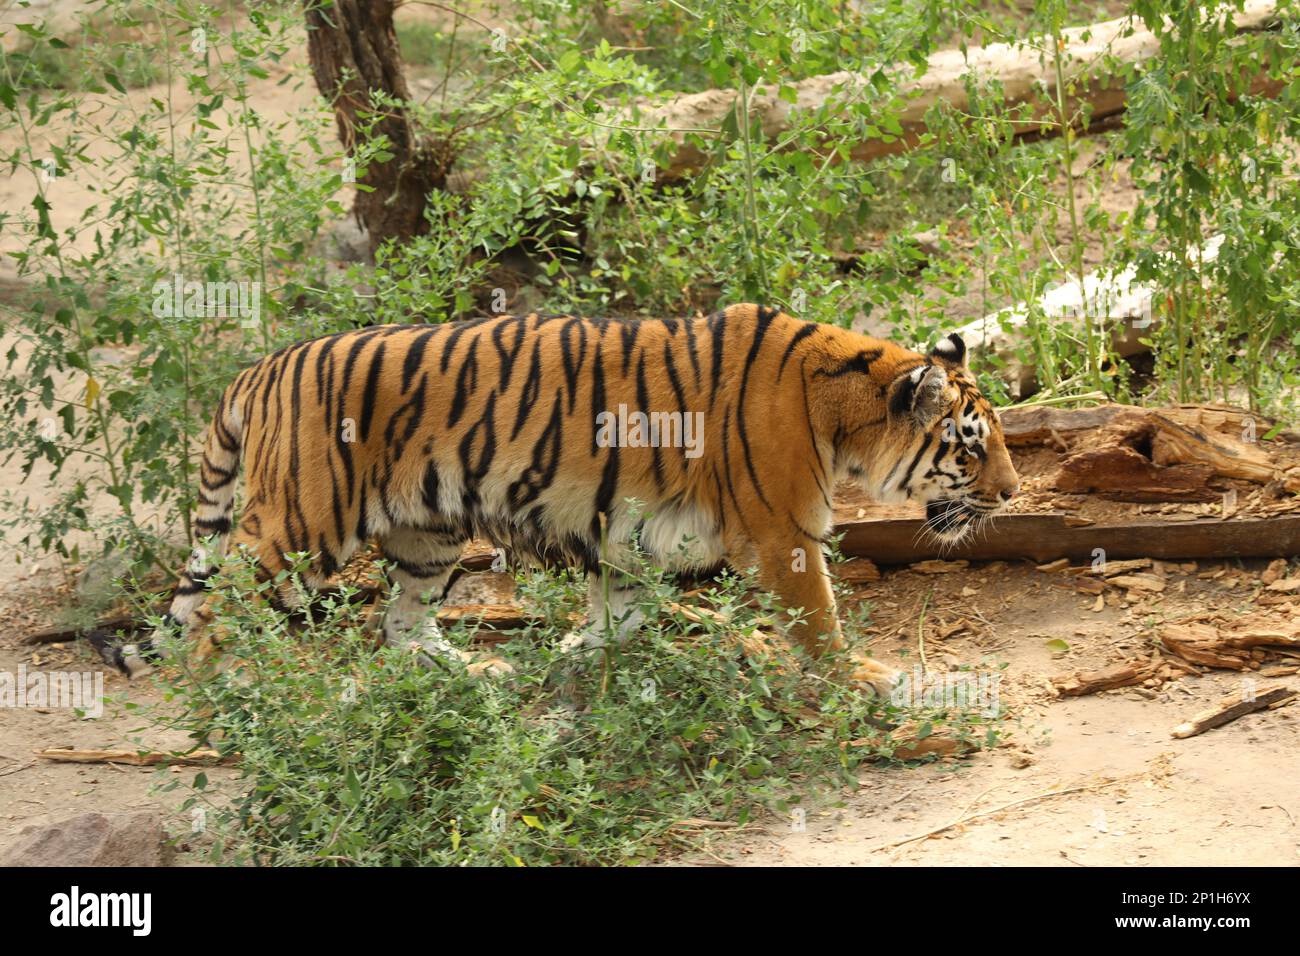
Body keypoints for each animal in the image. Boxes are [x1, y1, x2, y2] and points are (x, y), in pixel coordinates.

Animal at [100, 303, 1019, 695]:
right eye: (972, 446)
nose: (1013, 494)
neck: (841, 403)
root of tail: (256, 369)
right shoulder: (781, 535)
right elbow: (820, 621)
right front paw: (862, 675)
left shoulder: (634, 539)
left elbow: (619, 612)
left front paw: (577, 660)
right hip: (301, 527)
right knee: (218, 614)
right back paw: (241, 697)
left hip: (428, 532)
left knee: (400, 623)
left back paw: (475, 671)